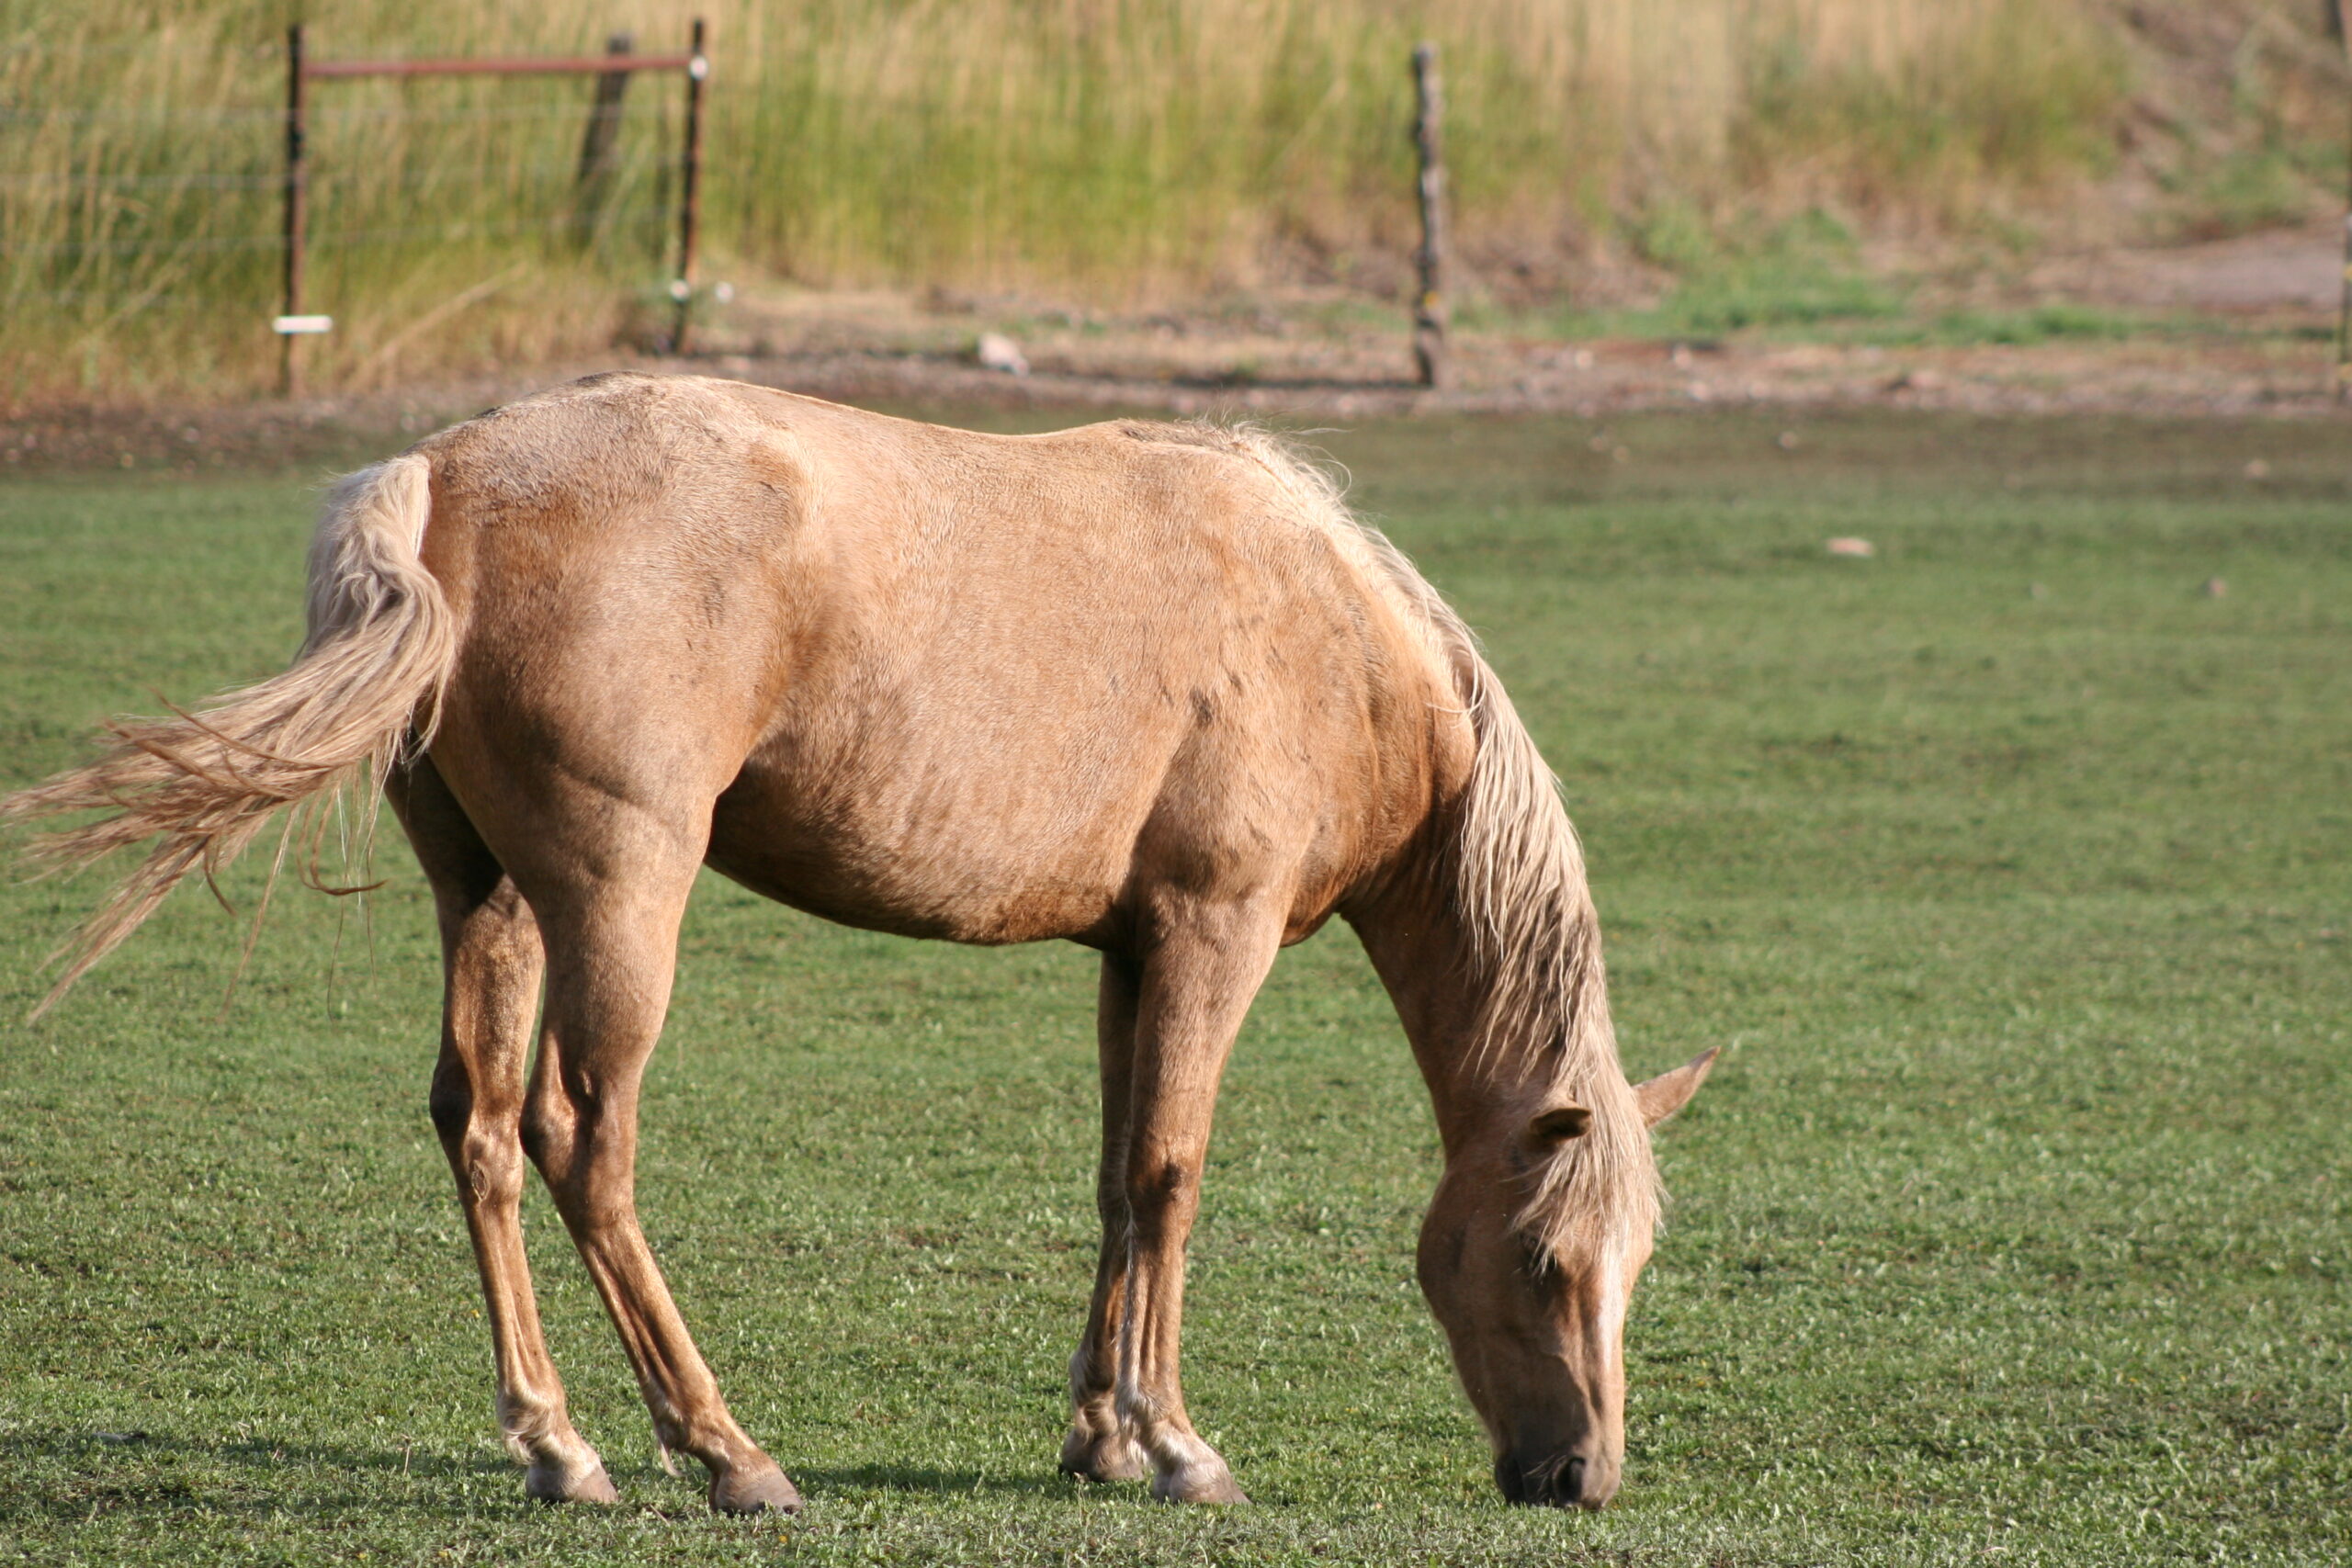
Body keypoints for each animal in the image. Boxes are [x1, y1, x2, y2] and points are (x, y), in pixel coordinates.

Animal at [6, 372, 1714, 1514]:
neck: (1333, 631)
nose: (1581, 1474)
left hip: (485, 894)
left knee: (481, 1129)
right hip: (618, 896)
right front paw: (1173, 1442)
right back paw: (724, 1450)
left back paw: (561, 1444)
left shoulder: (1132, 949)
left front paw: (1097, 1434)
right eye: (1544, 1258)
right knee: (582, 1139)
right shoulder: (1211, 935)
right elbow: (1173, 1176)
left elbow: (1116, 1178)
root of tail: (443, 474)